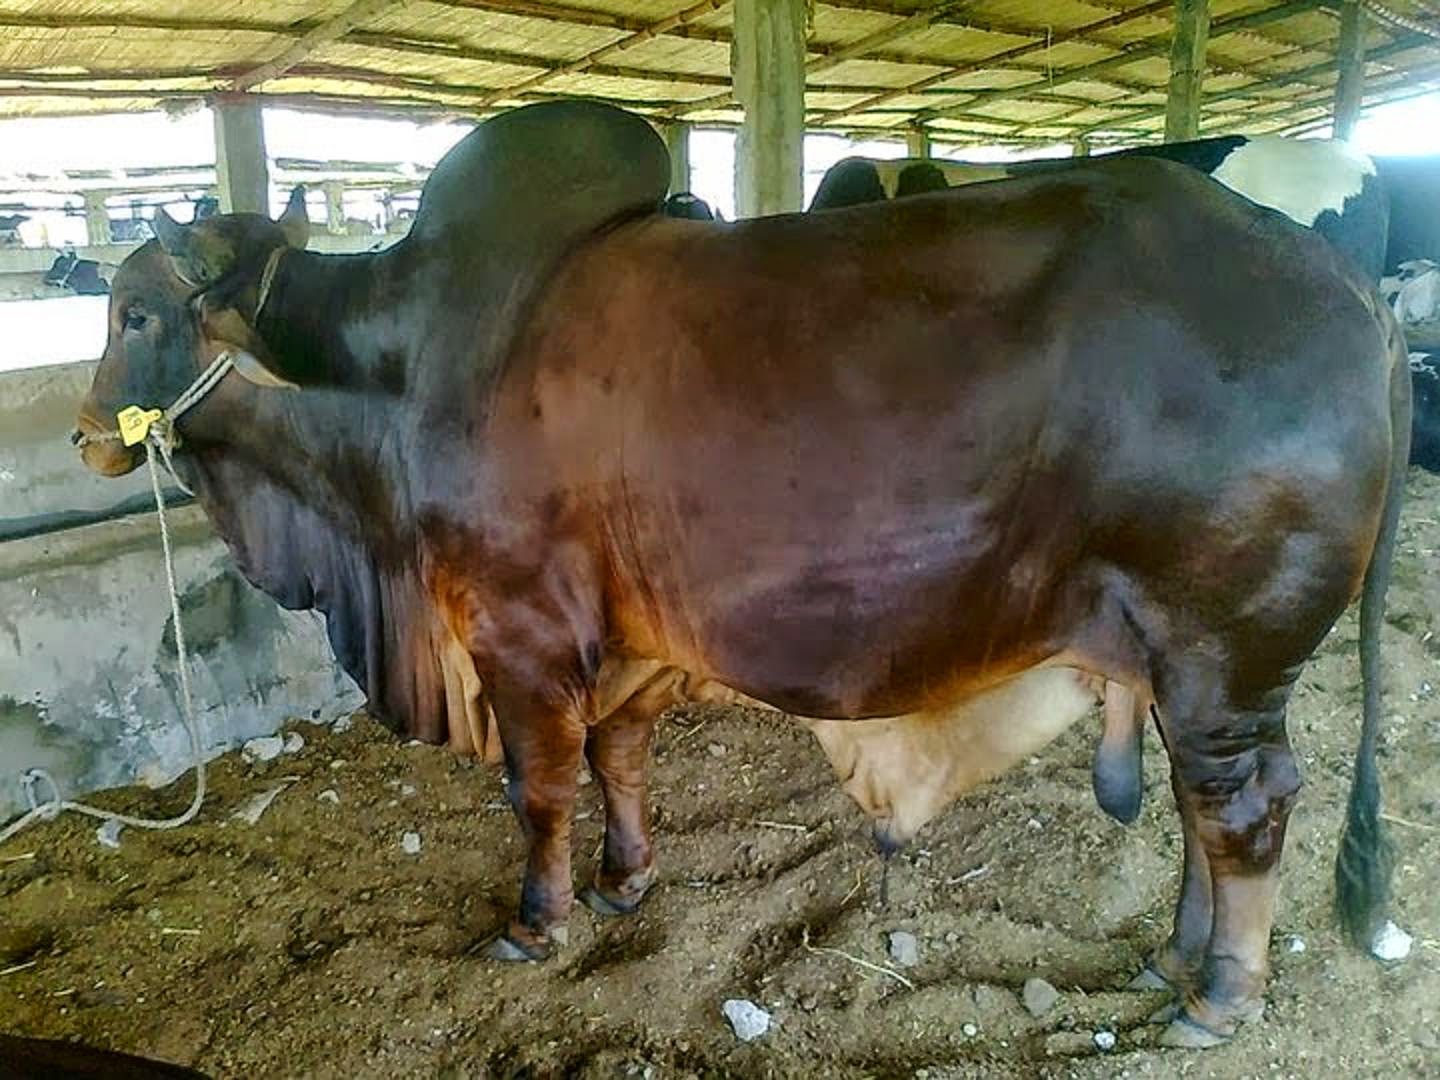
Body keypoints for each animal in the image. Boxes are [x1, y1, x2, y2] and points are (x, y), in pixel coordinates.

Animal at [75, 100, 1409, 1049]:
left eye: (137, 312)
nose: (89, 435)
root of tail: (1343, 280)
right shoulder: (630, 642)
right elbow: (616, 760)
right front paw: (626, 884)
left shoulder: (517, 630)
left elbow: (535, 788)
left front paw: (537, 922)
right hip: (1190, 666)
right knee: (1200, 806)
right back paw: (1174, 961)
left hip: (1224, 649)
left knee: (1245, 808)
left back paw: (1219, 997)